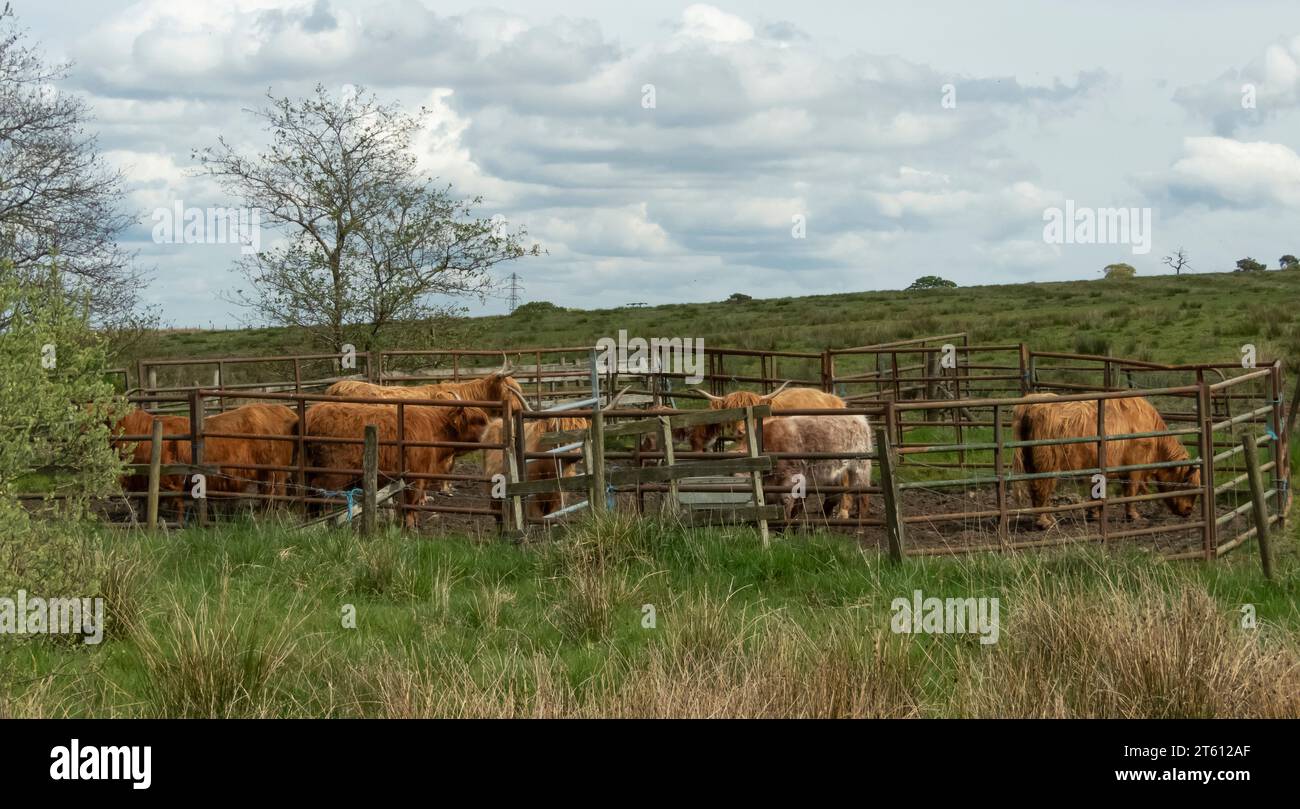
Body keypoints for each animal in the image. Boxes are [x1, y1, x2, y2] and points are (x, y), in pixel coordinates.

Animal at [304, 402, 489, 527]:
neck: (434, 430)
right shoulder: (416, 476)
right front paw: (410, 526)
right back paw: (324, 522)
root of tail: (312, 413)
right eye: (479, 421)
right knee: (321, 493)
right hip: (332, 473)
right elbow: (411, 501)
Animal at [1012, 393, 1201, 529]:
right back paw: (1043, 522)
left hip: (1032, 463)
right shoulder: (1134, 467)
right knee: (1041, 489)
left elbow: (1098, 489)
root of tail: (1029, 405)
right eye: (1189, 485)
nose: (1188, 511)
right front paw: (1133, 515)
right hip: (1047, 463)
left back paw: (1048, 518)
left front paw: (1093, 514)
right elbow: (1131, 491)